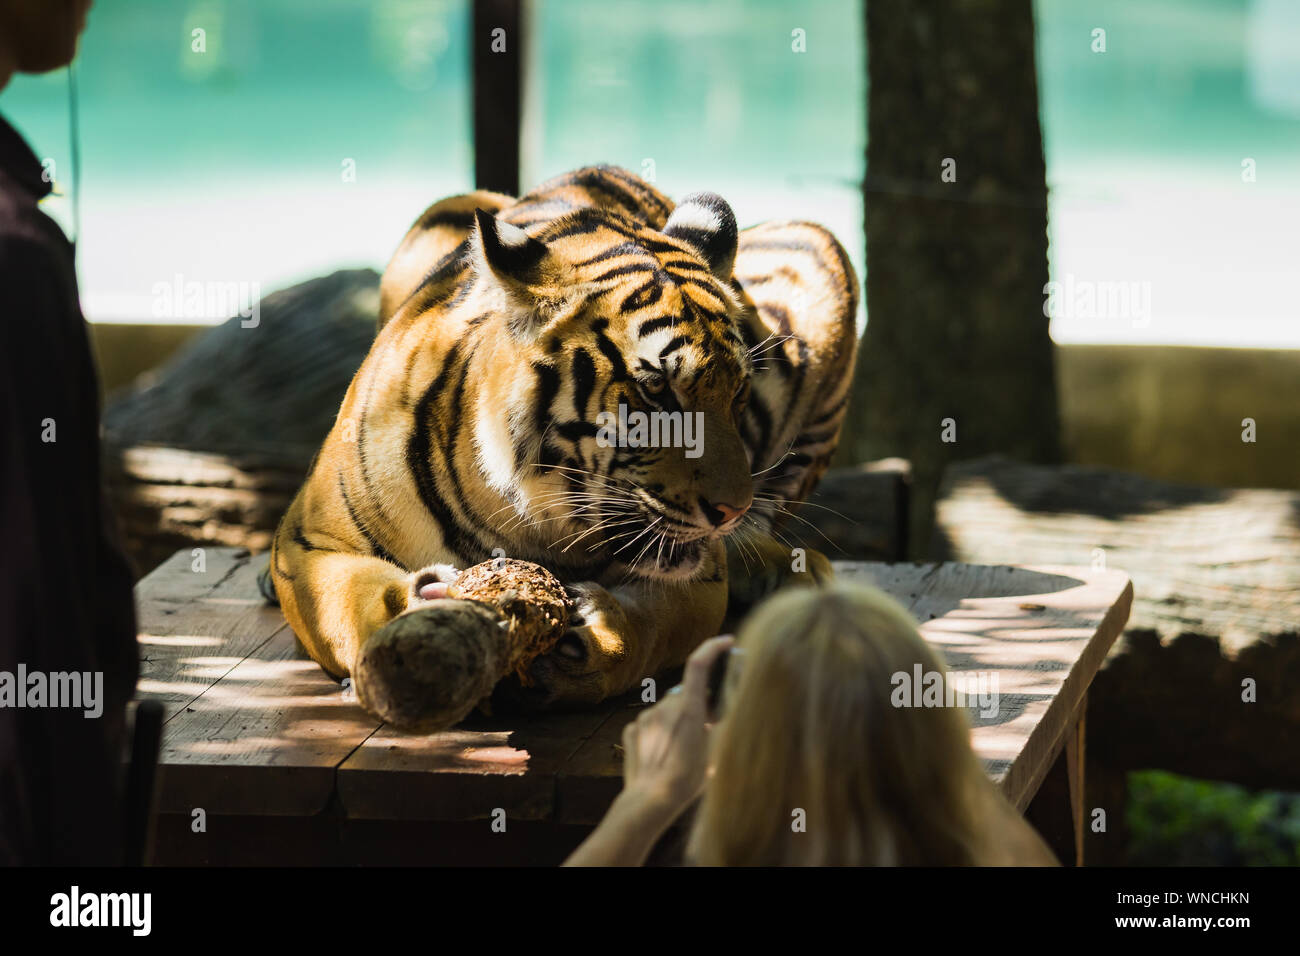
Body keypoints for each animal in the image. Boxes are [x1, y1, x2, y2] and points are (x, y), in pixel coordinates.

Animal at [266, 165, 858, 712]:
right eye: (656, 389)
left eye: (738, 391)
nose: (731, 511)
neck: (529, 513)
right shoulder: (307, 542)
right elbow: (351, 608)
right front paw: (418, 604)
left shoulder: (702, 574)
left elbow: (655, 629)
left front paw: (595, 647)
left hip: (818, 244)